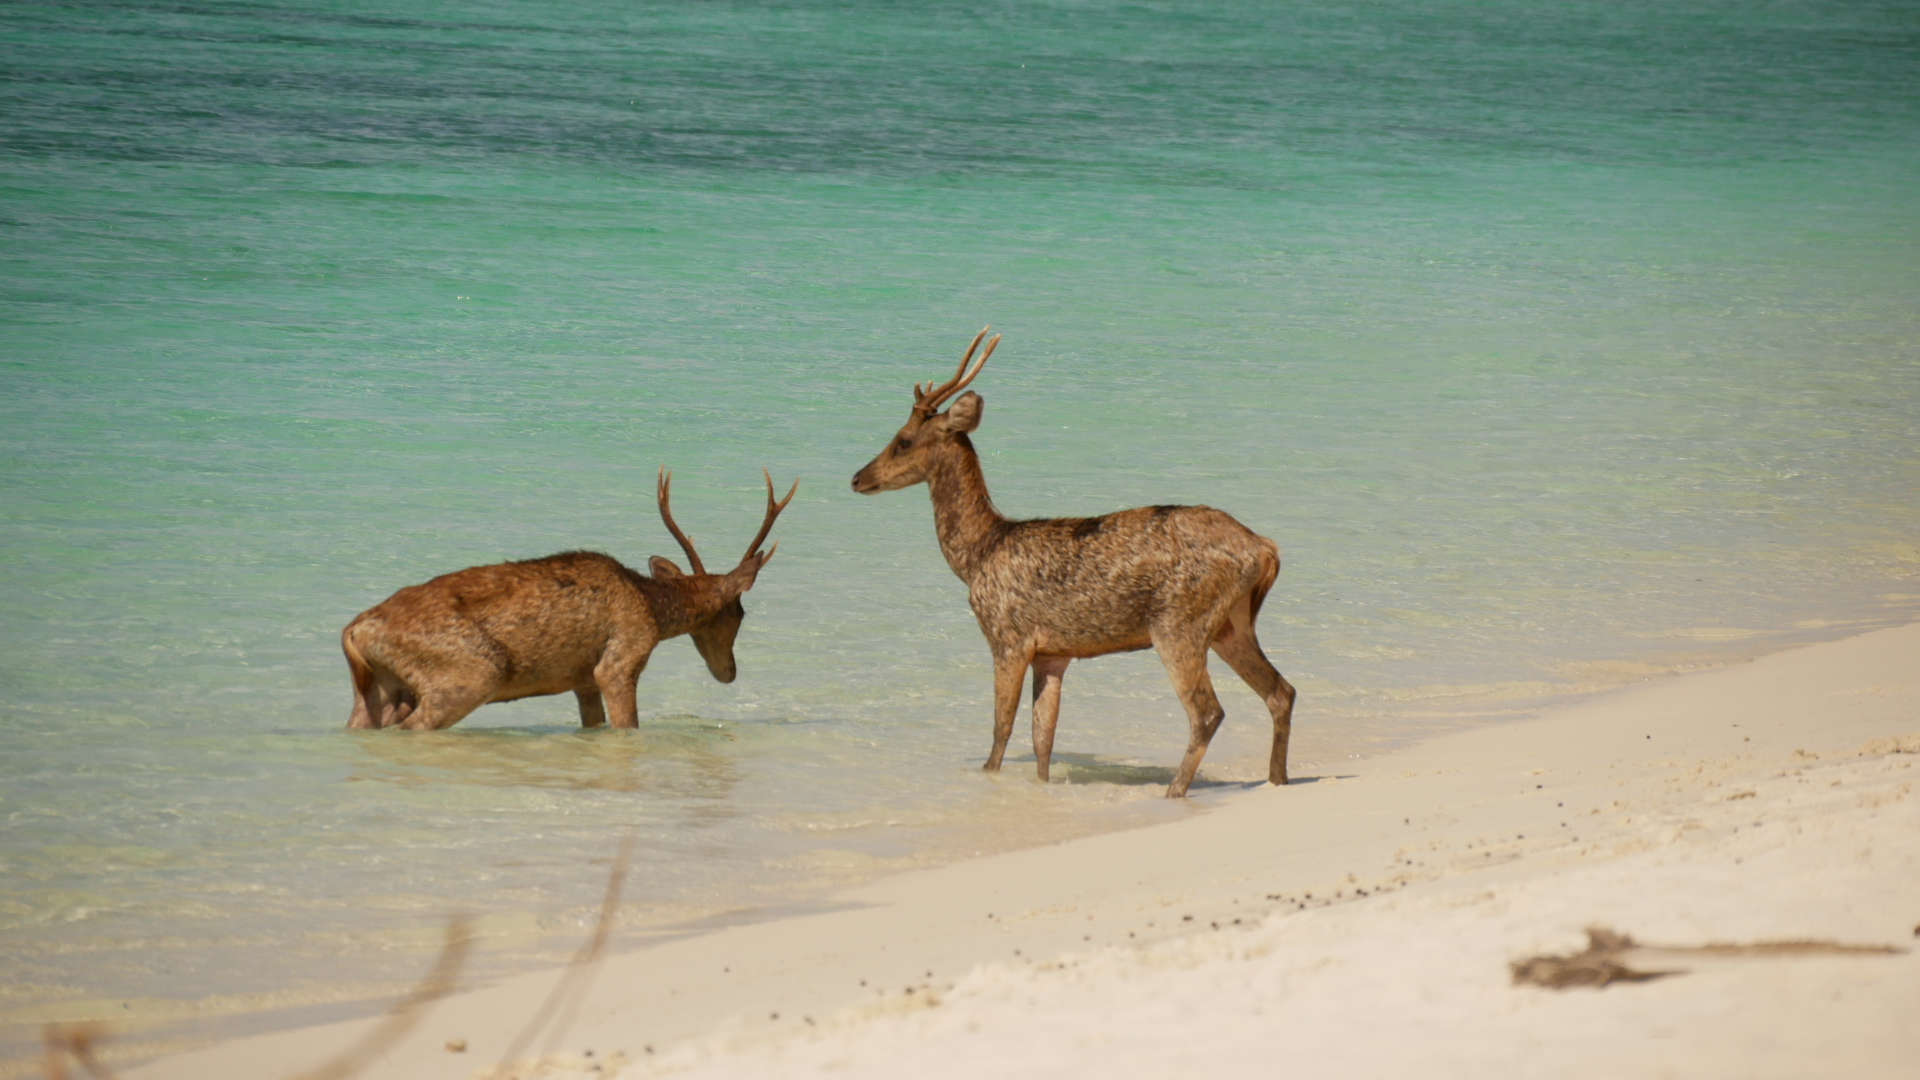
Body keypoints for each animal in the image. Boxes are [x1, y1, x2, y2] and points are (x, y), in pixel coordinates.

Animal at [341, 468, 797, 731]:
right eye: (738, 613)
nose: (729, 673)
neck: (652, 608)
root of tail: (353, 631)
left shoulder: (582, 681)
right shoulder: (619, 661)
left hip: (380, 690)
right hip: (467, 674)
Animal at [851, 330, 1296, 797]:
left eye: (903, 439)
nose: (858, 478)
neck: (978, 556)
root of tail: (1265, 548)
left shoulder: (1008, 635)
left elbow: (1001, 729)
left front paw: (989, 776)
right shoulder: (1052, 653)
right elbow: (1042, 738)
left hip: (1179, 622)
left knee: (1208, 712)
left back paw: (1174, 792)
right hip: (1232, 623)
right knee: (1281, 692)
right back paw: (1277, 780)